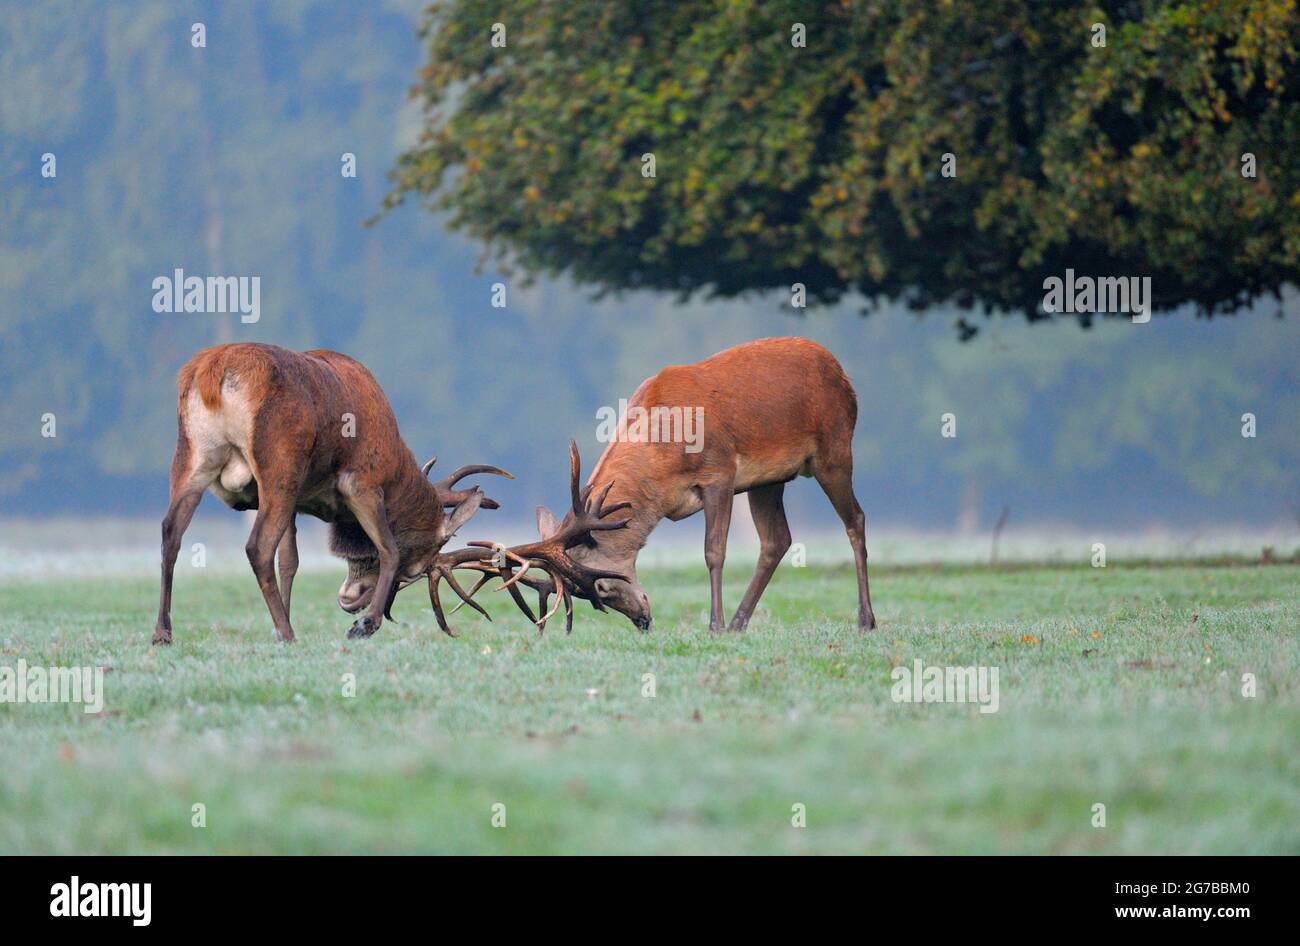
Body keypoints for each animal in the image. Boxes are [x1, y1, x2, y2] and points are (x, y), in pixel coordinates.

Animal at [153, 343, 510, 644]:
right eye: (418, 568)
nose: (354, 604)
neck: (395, 470)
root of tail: (213, 371)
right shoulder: (362, 484)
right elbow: (389, 548)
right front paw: (365, 625)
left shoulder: (298, 501)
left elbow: (290, 561)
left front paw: (284, 621)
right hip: (279, 467)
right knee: (257, 546)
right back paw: (288, 634)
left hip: (190, 457)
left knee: (171, 532)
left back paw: (162, 633)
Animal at [462, 337, 877, 634]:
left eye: (600, 589)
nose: (643, 621)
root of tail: (842, 373)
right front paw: (724, 624)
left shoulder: (720, 473)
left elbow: (714, 551)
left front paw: (714, 625)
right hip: (769, 479)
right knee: (777, 540)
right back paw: (741, 623)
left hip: (834, 448)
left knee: (855, 520)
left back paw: (866, 620)